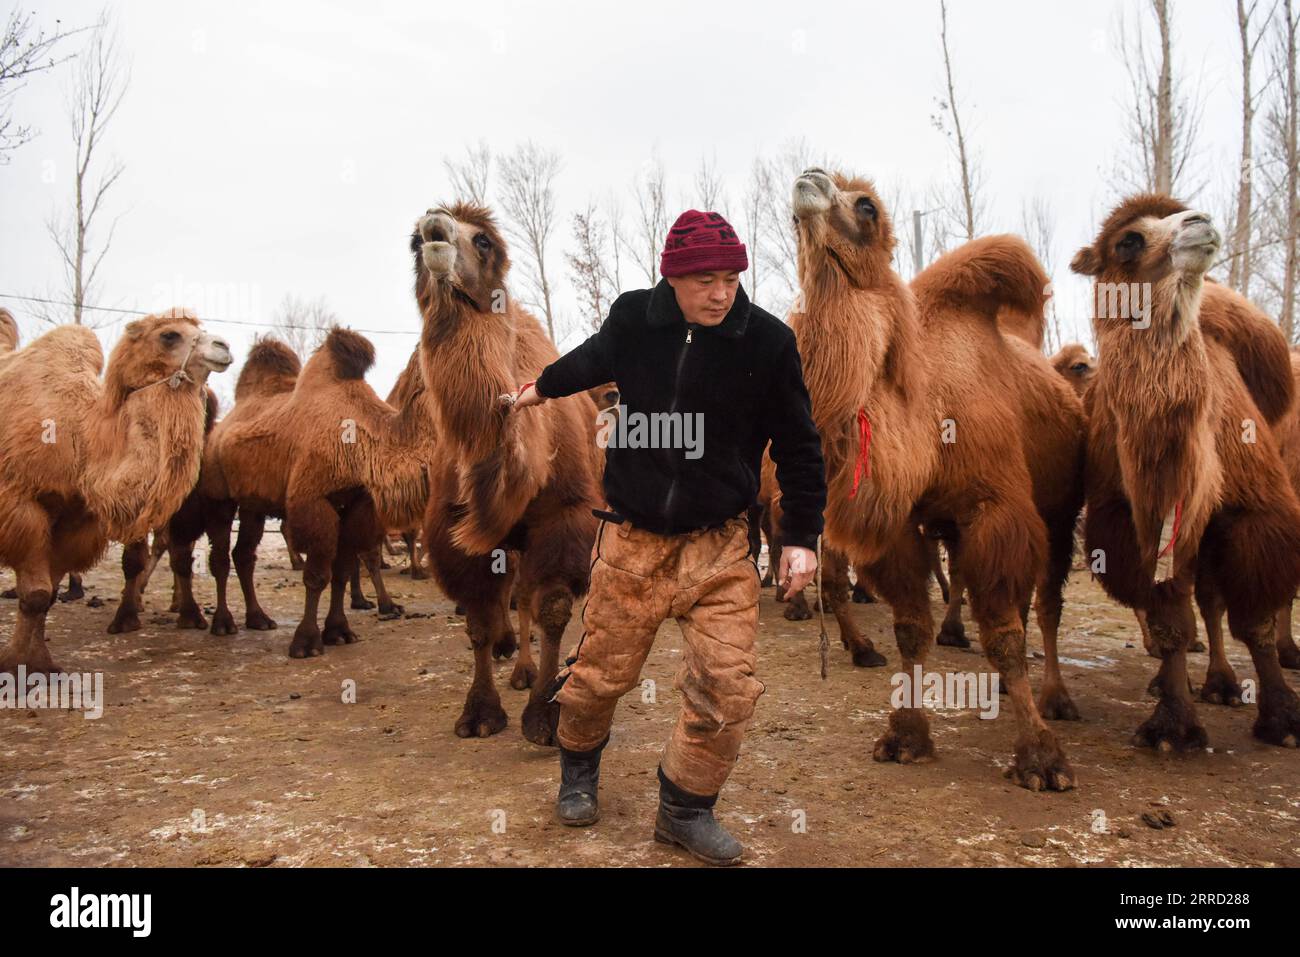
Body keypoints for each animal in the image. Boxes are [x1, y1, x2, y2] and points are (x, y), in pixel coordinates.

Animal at [0, 309, 232, 673]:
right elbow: (36, 593)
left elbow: (45, 594)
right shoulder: (21, 504)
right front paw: (15, 664)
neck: (81, 437)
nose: (223, 346)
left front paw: (40, 663)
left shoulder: (76, 519)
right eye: (169, 335)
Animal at [197, 332, 432, 656]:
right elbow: (319, 574)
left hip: (253, 504)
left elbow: (342, 570)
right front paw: (306, 642)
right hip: (219, 494)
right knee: (220, 556)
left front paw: (339, 631)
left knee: (243, 554)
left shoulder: (357, 500)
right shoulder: (313, 499)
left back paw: (258, 618)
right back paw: (223, 623)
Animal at [411, 202, 600, 745]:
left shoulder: (567, 515)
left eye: (483, 241)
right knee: (514, 599)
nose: (434, 226)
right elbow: (477, 618)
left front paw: (544, 716)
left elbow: (553, 608)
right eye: (414, 242)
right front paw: (479, 713)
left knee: (532, 601)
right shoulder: (452, 529)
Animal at [789, 168, 1079, 790]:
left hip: (1062, 513)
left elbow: (1003, 636)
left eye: (867, 207)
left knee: (1045, 604)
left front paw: (1042, 757)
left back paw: (1057, 698)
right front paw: (905, 735)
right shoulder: (902, 524)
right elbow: (910, 628)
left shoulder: (997, 511)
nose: (809, 178)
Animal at [1074, 194, 1300, 752]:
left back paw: (1222, 682)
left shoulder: (1253, 514)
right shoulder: (1131, 521)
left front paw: (1283, 718)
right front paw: (1172, 726)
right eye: (1128, 241)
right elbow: (1170, 617)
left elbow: (1256, 620)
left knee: (1217, 600)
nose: (1200, 222)